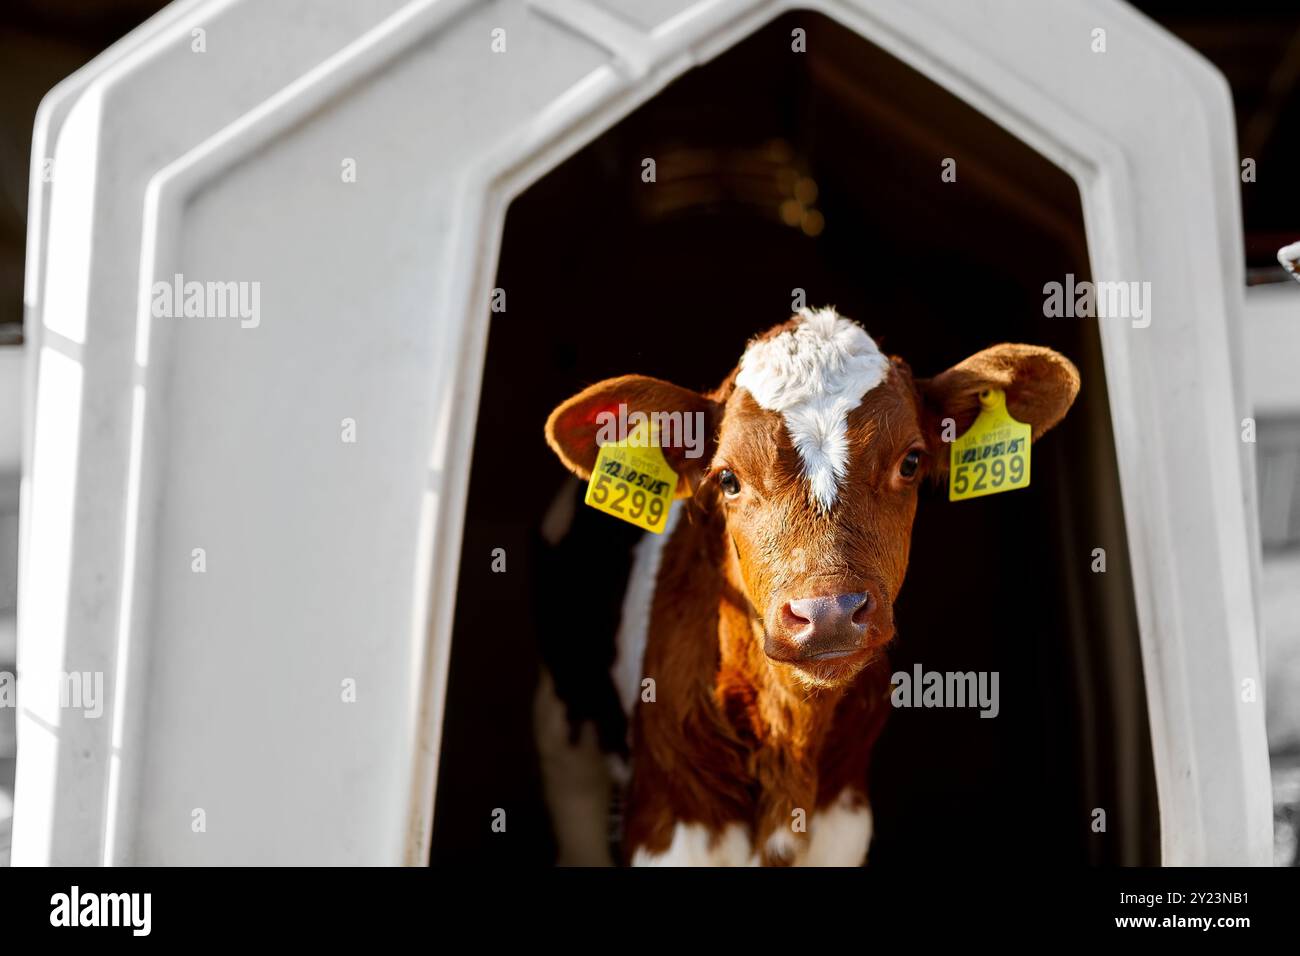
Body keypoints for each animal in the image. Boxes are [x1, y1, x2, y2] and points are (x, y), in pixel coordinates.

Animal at [535, 307, 1079, 866]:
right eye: (728, 479)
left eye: (910, 461)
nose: (829, 613)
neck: (788, 731)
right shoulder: (671, 824)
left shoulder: (842, 818)